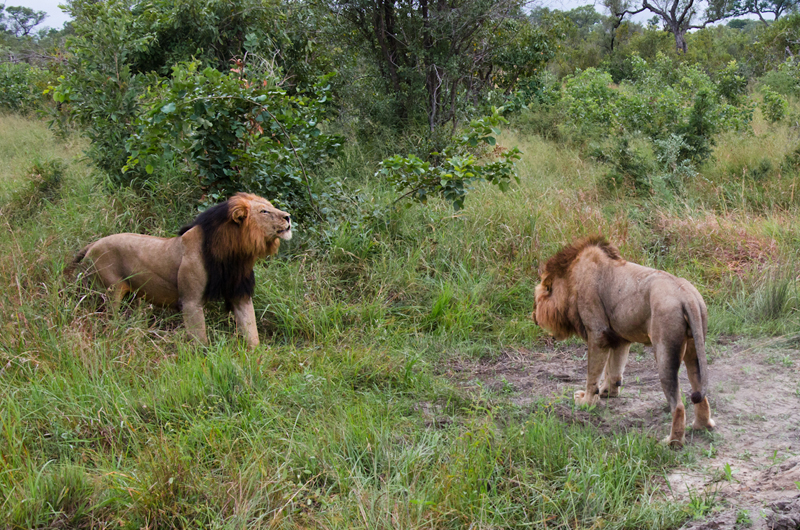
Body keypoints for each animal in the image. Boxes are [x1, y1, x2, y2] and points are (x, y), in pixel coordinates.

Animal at [70, 193, 291, 349]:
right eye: (264, 212)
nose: (289, 217)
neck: (236, 255)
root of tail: (92, 244)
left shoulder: (239, 293)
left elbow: (251, 329)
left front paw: (256, 357)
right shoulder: (191, 301)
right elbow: (200, 338)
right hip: (109, 292)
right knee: (107, 318)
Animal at [532, 236, 715, 447]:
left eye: (536, 302)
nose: (533, 317)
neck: (571, 281)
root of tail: (688, 297)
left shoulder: (598, 334)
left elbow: (592, 374)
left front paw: (587, 401)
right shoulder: (620, 338)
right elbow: (613, 369)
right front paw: (608, 392)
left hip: (664, 353)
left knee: (678, 405)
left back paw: (672, 442)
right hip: (694, 348)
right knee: (699, 393)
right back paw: (701, 425)